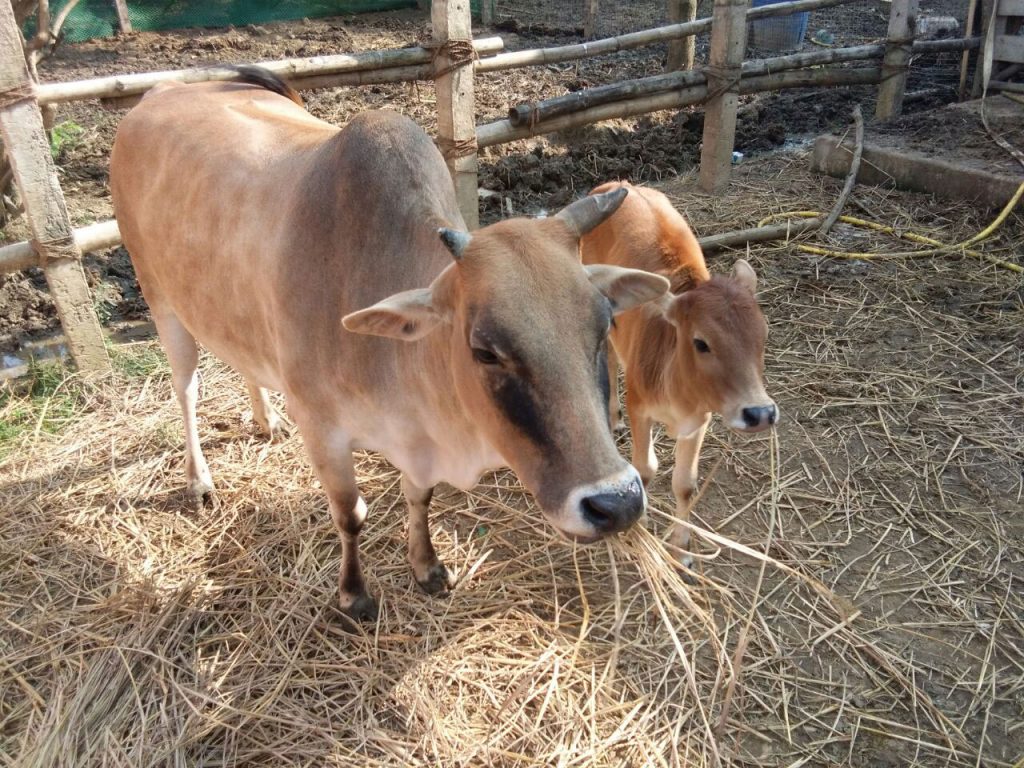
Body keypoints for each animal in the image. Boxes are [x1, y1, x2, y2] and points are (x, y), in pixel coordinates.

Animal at [109, 67, 671, 621]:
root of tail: (161, 91)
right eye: (484, 350)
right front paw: (354, 595)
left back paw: (266, 421)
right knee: (186, 391)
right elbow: (350, 514)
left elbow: (419, 498)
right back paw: (200, 480)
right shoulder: (323, 429)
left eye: (603, 326)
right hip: (161, 302)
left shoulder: (415, 443)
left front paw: (426, 567)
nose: (616, 503)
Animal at [579, 181, 778, 567]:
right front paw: (639, 536)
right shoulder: (641, 408)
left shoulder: (700, 421)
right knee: (607, 358)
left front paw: (681, 549)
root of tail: (616, 184)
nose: (760, 413)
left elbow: (685, 483)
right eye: (701, 342)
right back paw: (612, 416)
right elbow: (644, 471)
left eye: (763, 335)